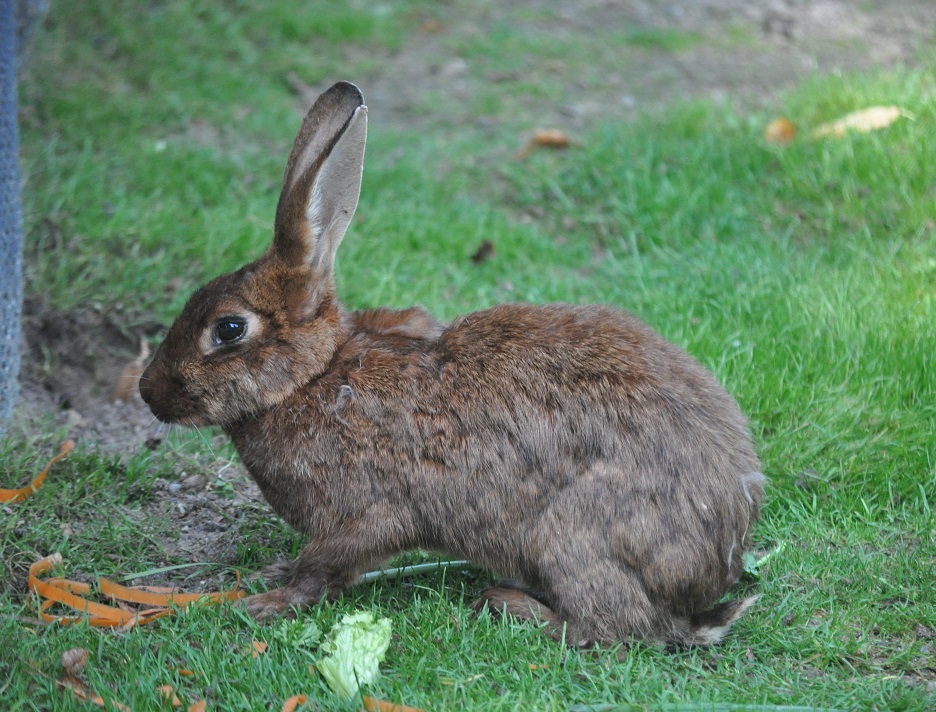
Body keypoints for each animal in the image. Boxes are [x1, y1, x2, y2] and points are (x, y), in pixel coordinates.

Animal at [140, 81, 765, 647]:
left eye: (228, 329)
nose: (148, 391)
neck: (311, 377)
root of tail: (710, 570)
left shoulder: (368, 513)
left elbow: (325, 567)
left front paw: (268, 601)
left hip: (572, 538)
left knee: (620, 629)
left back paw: (511, 604)